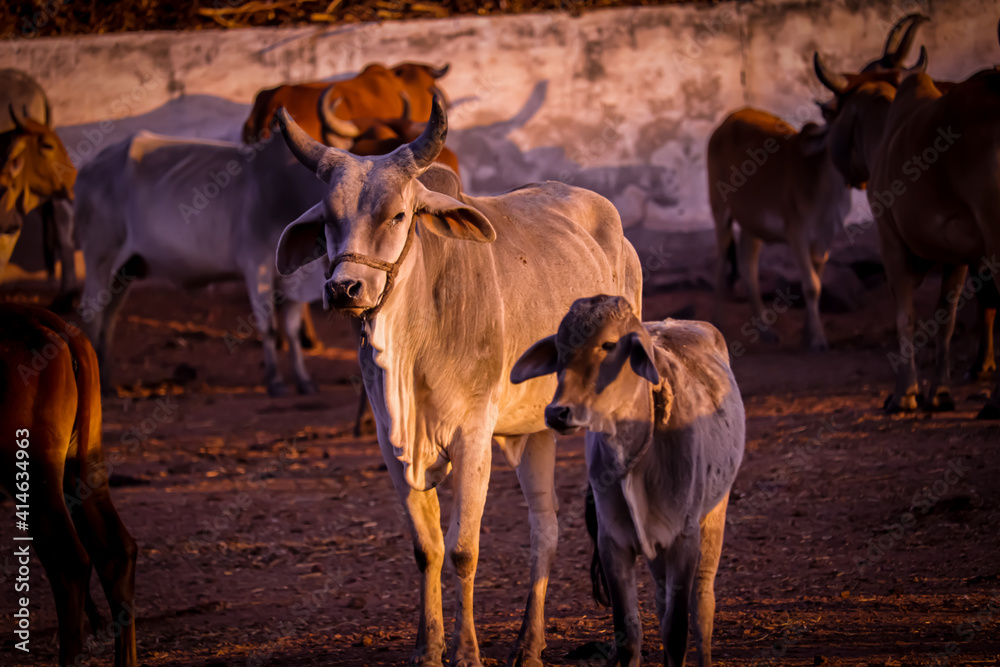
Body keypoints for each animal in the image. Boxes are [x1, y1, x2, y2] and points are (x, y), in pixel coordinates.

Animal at [73, 130, 329, 397]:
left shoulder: (297, 280)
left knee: (109, 316)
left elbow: (292, 331)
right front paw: (276, 382)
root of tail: (88, 167)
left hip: (125, 271)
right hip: (101, 257)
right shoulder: (256, 265)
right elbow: (268, 326)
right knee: (93, 311)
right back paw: (97, 384)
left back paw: (108, 383)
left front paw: (304, 382)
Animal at [271, 94, 642, 666]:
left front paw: (466, 652)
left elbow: (464, 550)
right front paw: (428, 649)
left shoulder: (473, 435)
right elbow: (427, 549)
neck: (414, 339)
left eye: (398, 214)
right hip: (534, 430)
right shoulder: (393, 444)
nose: (344, 288)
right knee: (545, 529)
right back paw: (528, 645)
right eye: (330, 219)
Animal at [510, 295, 745, 667]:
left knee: (702, 603)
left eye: (609, 344)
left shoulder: (683, 539)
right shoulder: (614, 544)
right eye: (560, 349)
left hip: (714, 514)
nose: (557, 412)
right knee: (662, 601)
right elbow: (629, 631)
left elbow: (677, 631)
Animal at [708, 109, 850, 350]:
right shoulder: (796, 232)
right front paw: (817, 340)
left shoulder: (826, 237)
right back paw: (717, 324)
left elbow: (817, 280)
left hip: (752, 223)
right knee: (720, 262)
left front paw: (809, 333)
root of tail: (729, 119)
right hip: (720, 207)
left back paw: (766, 331)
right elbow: (811, 285)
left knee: (748, 266)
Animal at [814, 46, 1000, 420]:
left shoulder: (891, 243)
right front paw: (939, 393)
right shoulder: (958, 256)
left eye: (833, 114)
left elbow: (905, 317)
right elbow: (946, 321)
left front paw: (904, 395)